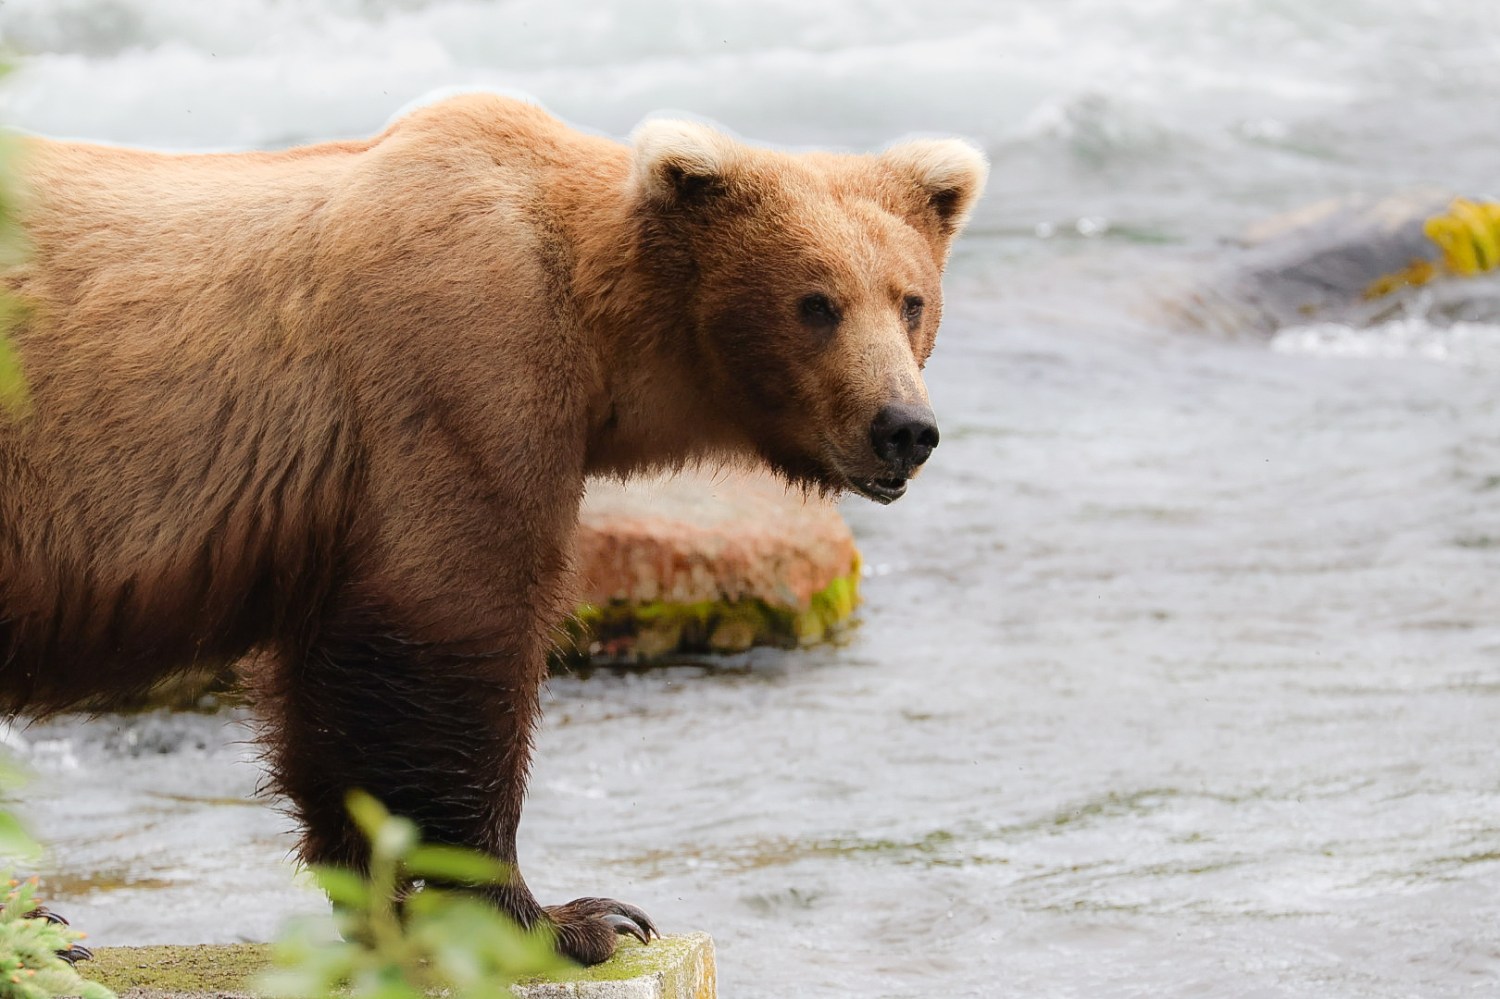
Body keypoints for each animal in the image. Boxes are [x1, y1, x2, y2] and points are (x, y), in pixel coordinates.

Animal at [0, 93, 987, 964]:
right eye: (816, 302)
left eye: (909, 299)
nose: (903, 427)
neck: (602, 339)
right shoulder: (461, 375)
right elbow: (452, 636)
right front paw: (575, 916)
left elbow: (327, 701)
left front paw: (380, 902)